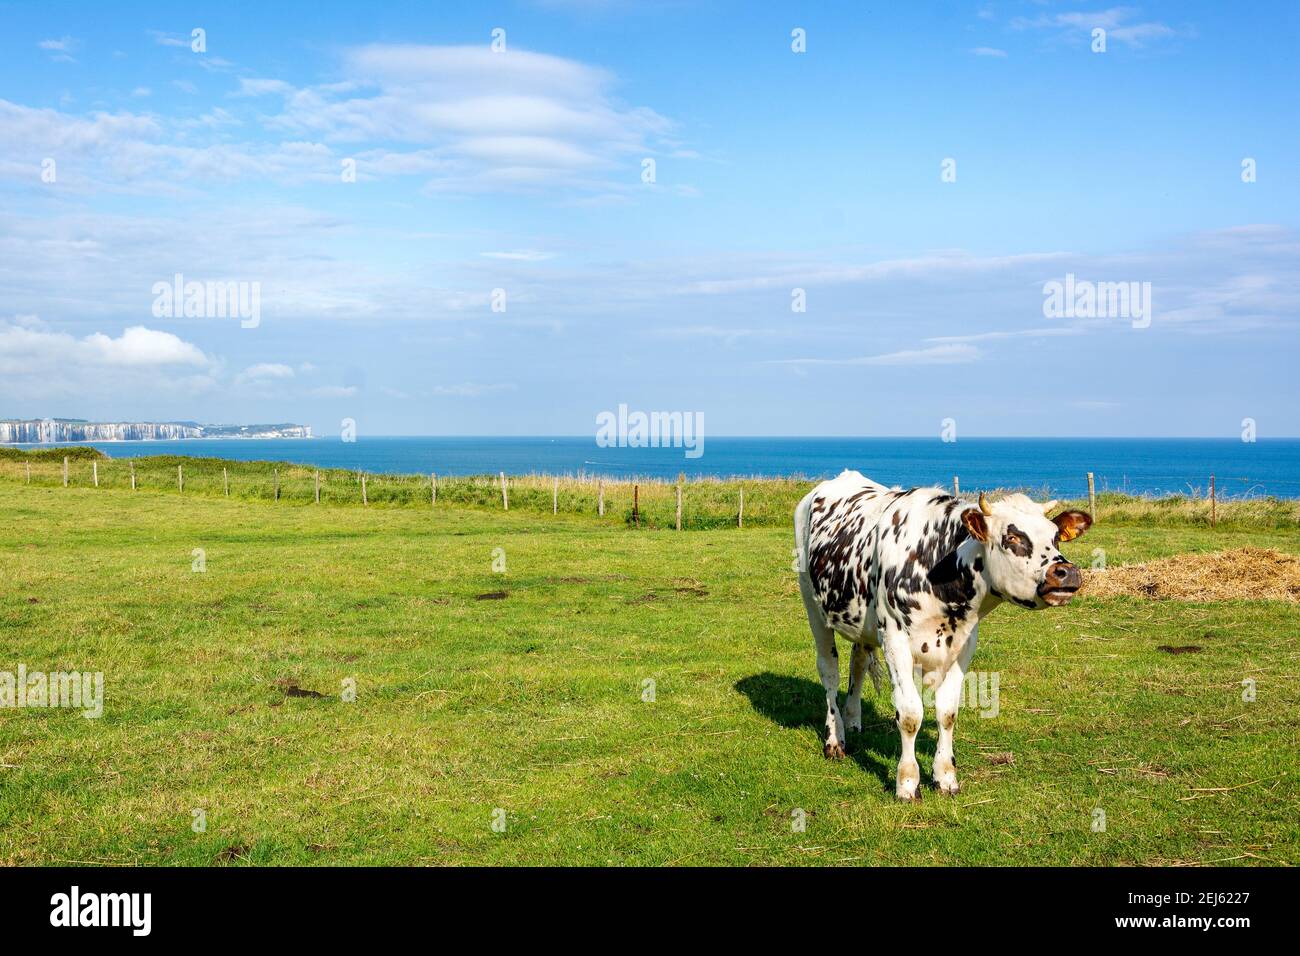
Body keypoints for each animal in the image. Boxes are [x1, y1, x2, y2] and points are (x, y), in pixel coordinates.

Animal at [794, 470, 1092, 800]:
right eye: (1012, 537)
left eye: (1055, 536)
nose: (1066, 572)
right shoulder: (895, 641)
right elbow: (910, 714)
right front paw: (907, 782)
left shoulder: (964, 643)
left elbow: (947, 712)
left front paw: (945, 776)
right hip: (813, 606)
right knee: (829, 672)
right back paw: (835, 739)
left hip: (861, 623)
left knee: (857, 664)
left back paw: (853, 719)